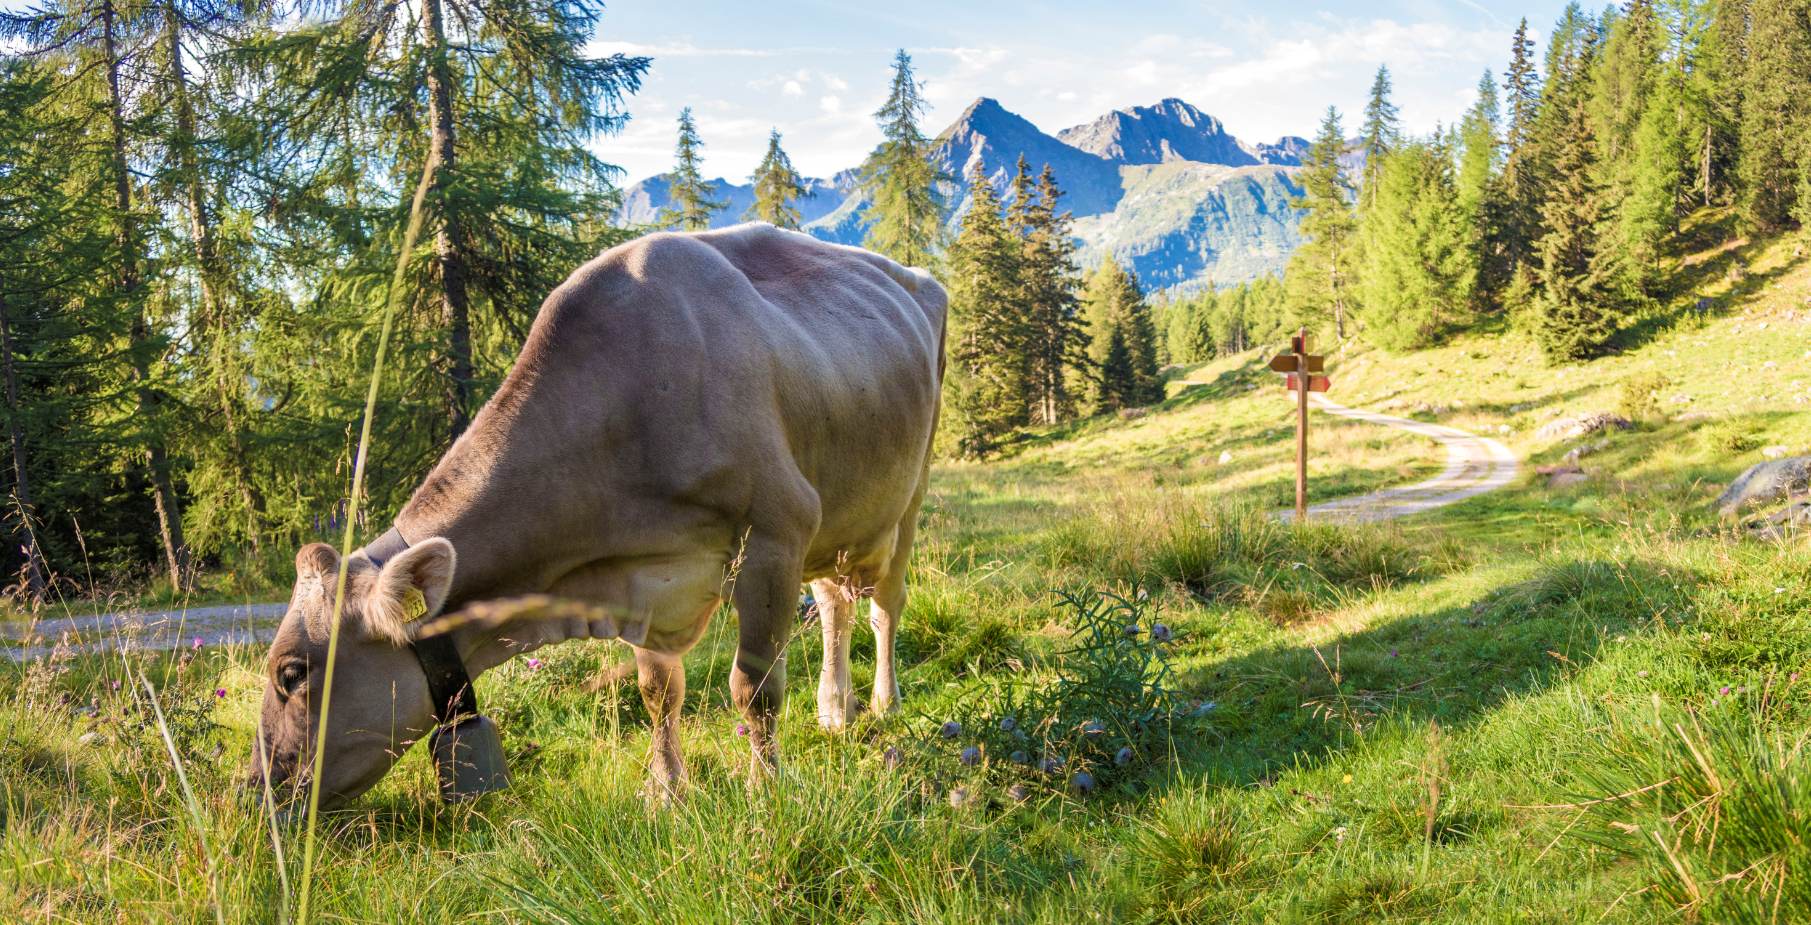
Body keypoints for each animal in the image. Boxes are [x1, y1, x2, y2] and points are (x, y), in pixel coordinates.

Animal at [247, 223, 946, 809]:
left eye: (291, 673)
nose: (254, 793)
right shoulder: (646, 578)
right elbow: (658, 691)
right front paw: (667, 792)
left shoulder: (776, 532)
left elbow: (754, 690)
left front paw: (764, 792)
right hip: (837, 518)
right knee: (834, 604)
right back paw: (835, 708)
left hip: (906, 498)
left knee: (885, 608)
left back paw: (882, 703)